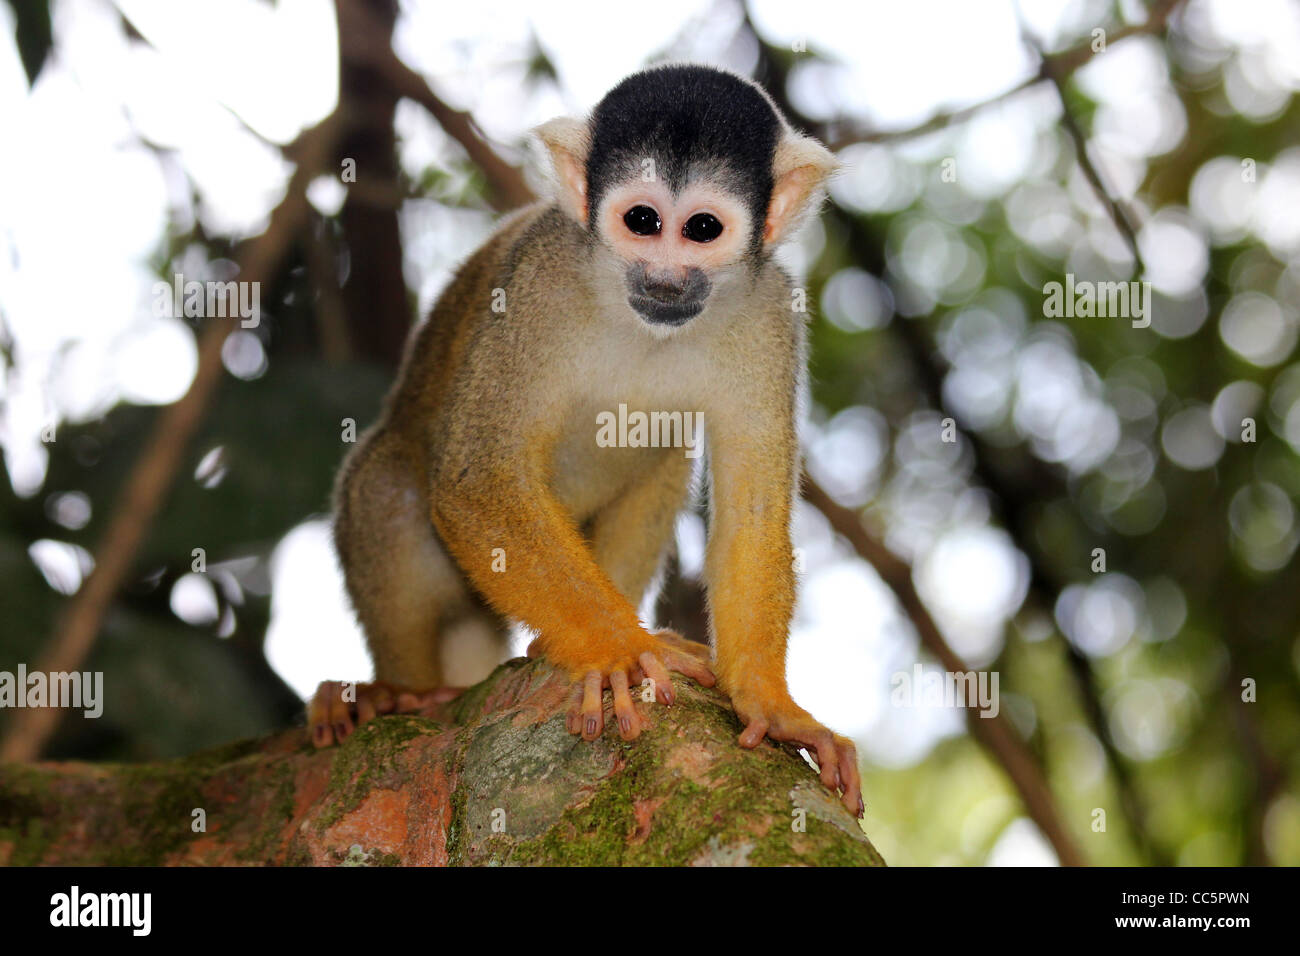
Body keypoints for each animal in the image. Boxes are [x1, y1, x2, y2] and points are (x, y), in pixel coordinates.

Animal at [308, 63, 862, 816]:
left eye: (702, 228)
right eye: (643, 221)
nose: (664, 280)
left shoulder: (770, 313)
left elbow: (752, 516)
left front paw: (773, 706)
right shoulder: (537, 282)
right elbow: (477, 480)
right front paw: (619, 651)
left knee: (663, 455)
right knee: (389, 491)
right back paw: (397, 693)